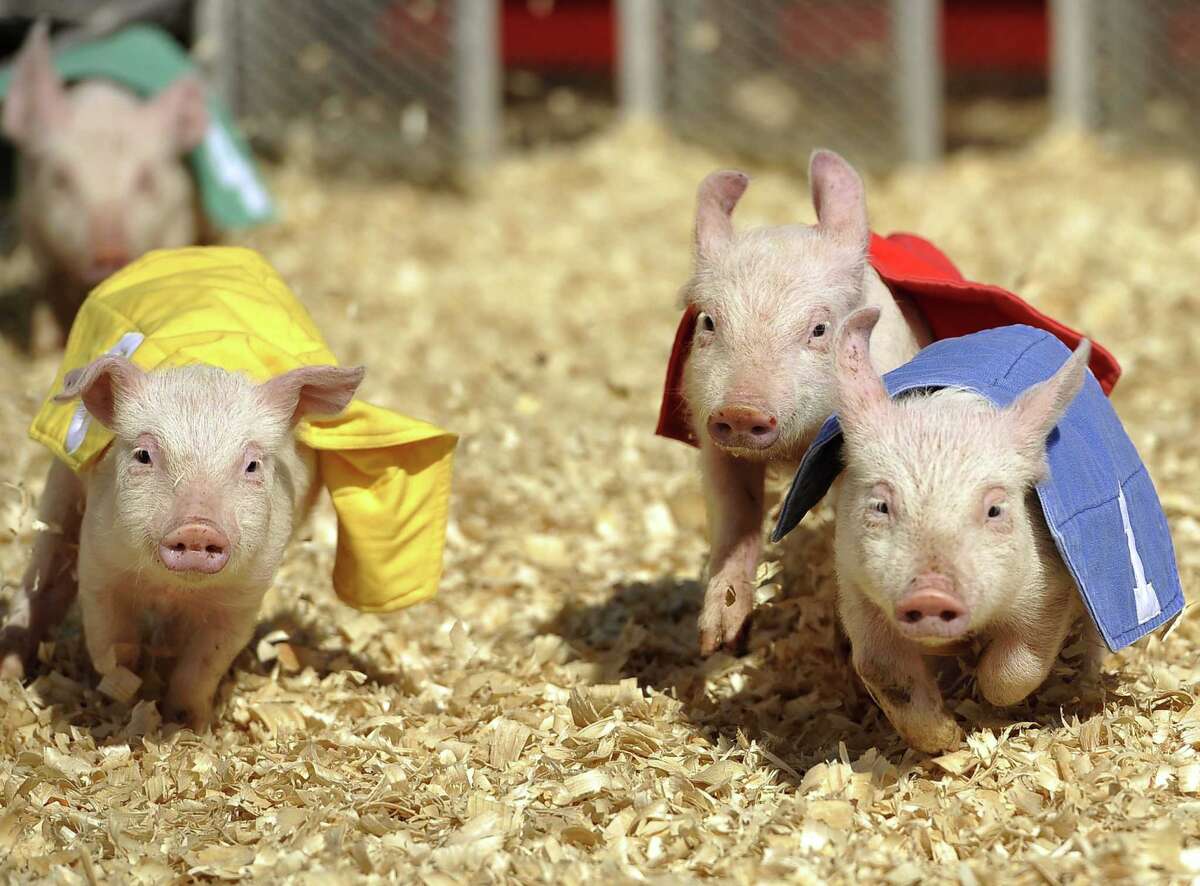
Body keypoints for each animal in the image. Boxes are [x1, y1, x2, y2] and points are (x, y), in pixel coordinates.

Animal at [0, 356, 364, 730]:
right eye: (144, 455)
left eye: (252, 465)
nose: (198, 529)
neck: (172, 588)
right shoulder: (99, 568)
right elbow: (113, 647)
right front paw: (123, 705)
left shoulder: (244, 596)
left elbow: (204, 665)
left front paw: (189, 725)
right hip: (60, 488)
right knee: (43, 577)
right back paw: (9, 672)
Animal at [2, 22, 210, 341]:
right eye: (61, 179)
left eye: (146, 180)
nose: (109, 252)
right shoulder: (33, 228)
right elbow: (53, 289)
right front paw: (53, 340)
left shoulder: (180, 216)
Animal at [683, 150, 931, 655]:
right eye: (709, 321)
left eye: (819, 329)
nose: (741, 410)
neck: (794, 449)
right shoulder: (713, 443)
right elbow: (735, 520)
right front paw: (718, 641)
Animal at [830, 307, 1100, 752]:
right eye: (881, 505)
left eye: (994, 509)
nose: (931, 592)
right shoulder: (855, 586)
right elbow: (882, 669)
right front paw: (946, 738)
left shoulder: (1048, 587)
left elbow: (1015, 669)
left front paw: (982, 697)